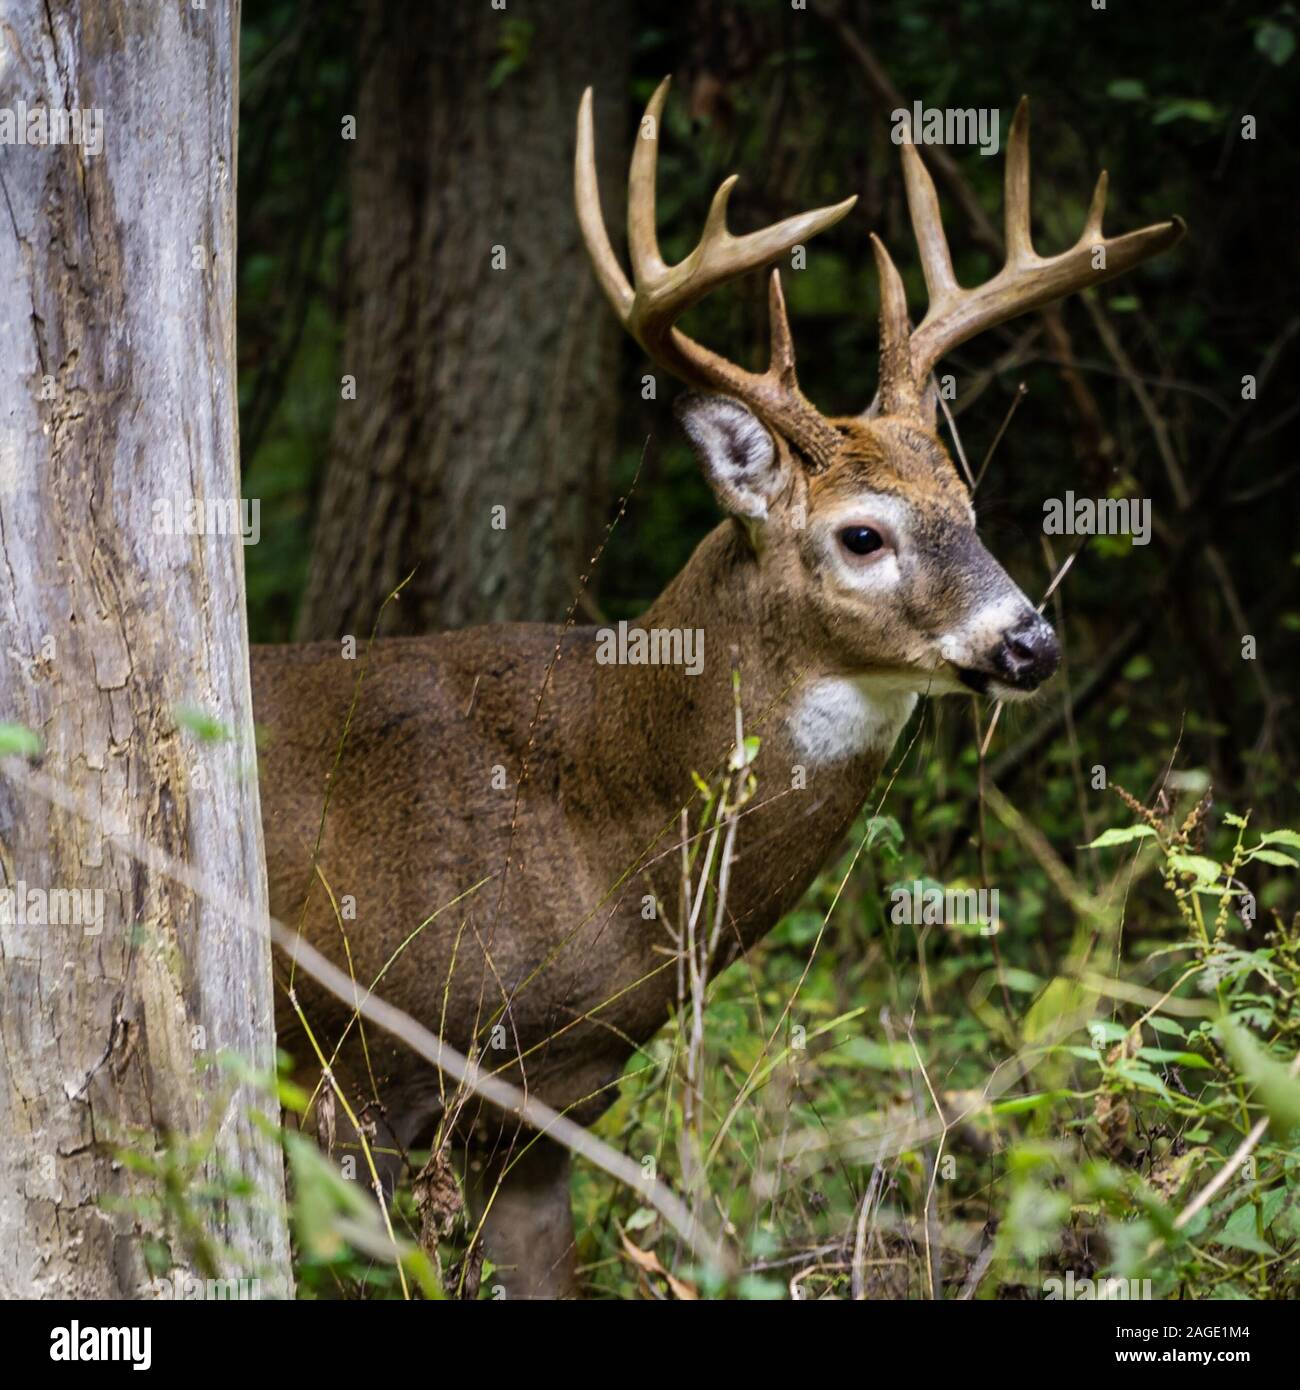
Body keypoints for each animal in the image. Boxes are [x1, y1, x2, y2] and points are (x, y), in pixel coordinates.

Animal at [252, 79, 1183, 1297]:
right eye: (862, 534)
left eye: (970, 509)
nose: (1030, 644)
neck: (593, 826)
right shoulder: (347, 1062)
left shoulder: (552, 1102)